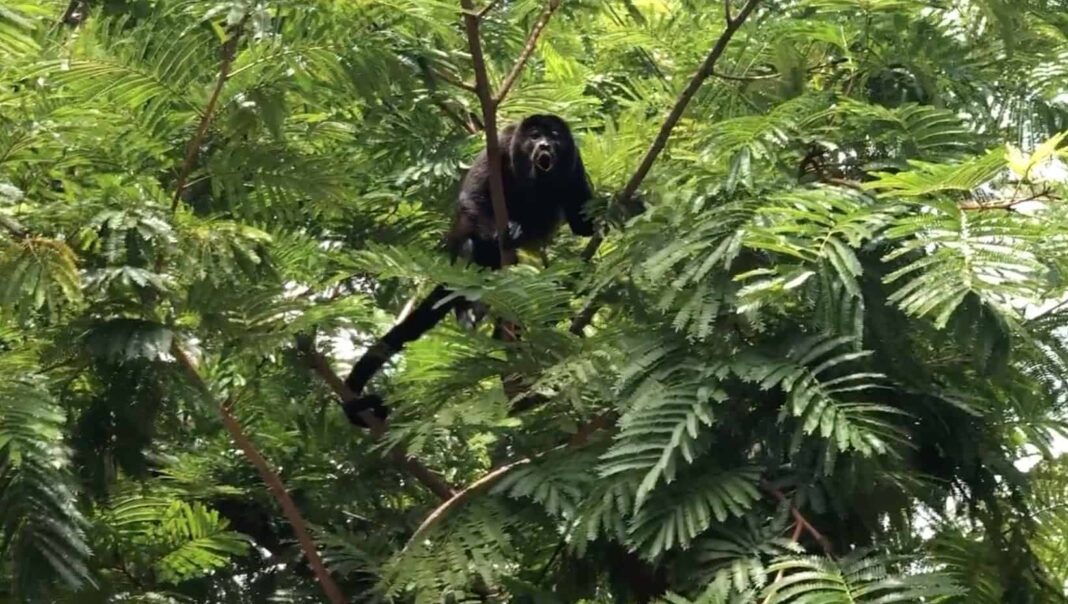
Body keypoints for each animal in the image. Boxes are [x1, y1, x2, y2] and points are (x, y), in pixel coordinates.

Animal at [342, 114, 596, 426]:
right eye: (535, 136)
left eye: (555, 135)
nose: (545, 145)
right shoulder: (499, 146)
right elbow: (472, 197)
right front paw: (504, 231)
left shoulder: (574, 161)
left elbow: (583, 226)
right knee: (470, 244)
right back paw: (467, 308)